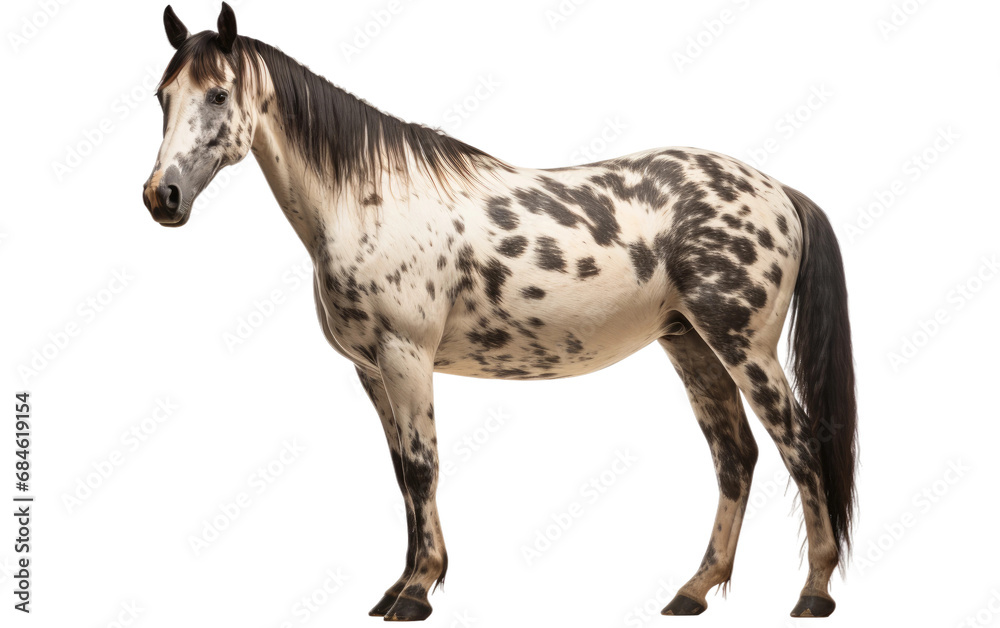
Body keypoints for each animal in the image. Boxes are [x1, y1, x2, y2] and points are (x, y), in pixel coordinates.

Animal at [142, 4, 857, 620]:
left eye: (217, 94)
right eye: (162, 96)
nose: (161, 196)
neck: (367, 201)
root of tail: (778, 191)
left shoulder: (406, 357)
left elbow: (423, 467)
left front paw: (419, 592)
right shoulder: (371, 370)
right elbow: (401, 474)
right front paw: (398, 586)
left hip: (745, 347)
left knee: (799, 444)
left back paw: (814, 591)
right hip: (690, 344)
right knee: (735, 455)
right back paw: (694, 590)